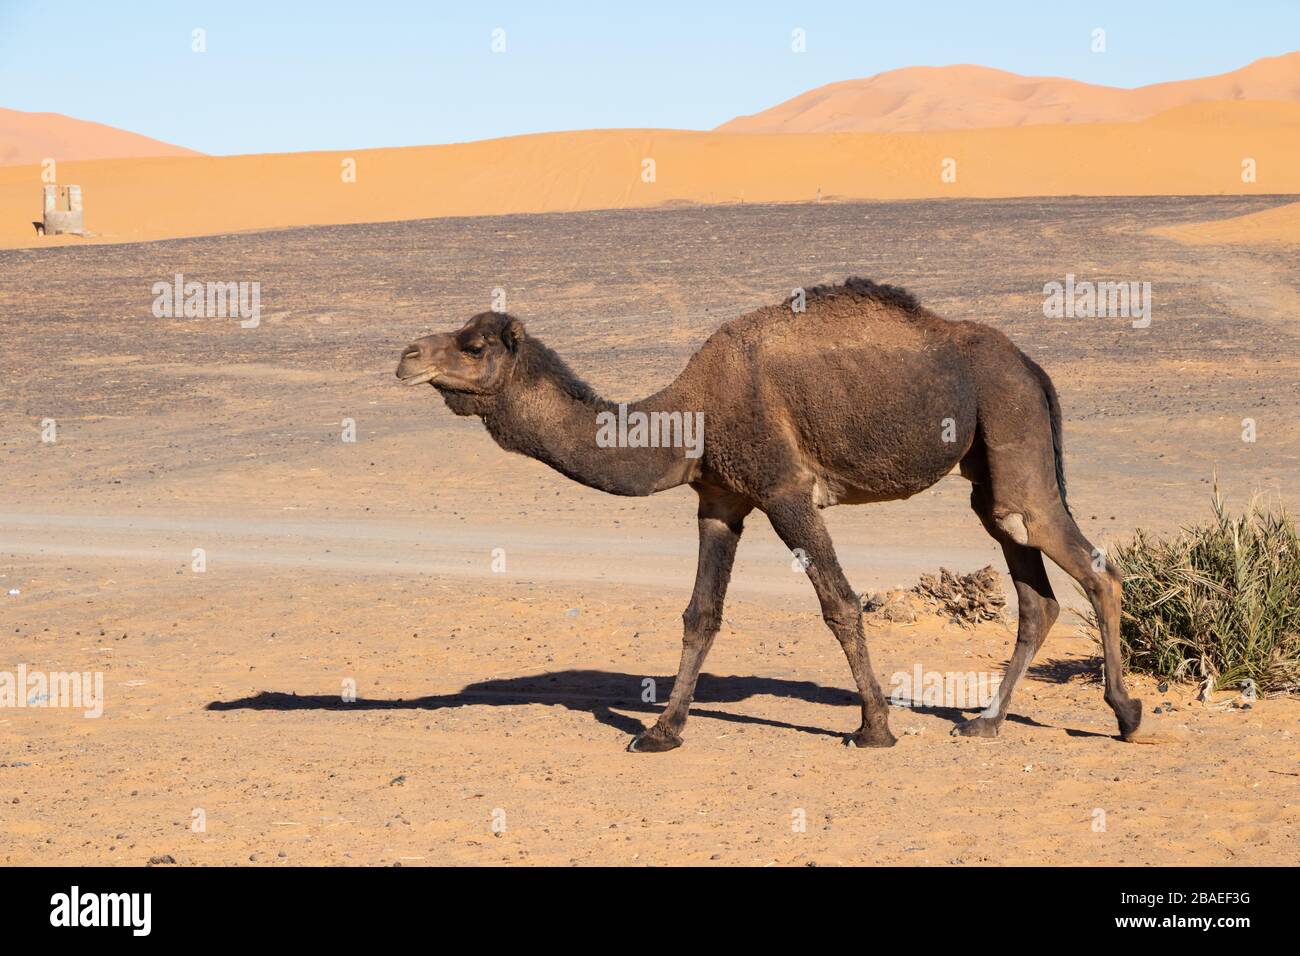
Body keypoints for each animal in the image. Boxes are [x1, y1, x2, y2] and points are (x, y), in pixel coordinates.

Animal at [396, 278, 1142, 752]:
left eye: (472, 345)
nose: (406, 355)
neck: (689, 415)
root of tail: (1032, 365)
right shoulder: (721, 500)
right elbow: (701, 614)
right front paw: (660, 732)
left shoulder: (784, 488)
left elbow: (840, 602)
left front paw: (874, 728)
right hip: (987, 469)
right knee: (1035, 592)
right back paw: (984, 723)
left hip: (1011, 424)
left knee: (1087, 564)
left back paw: (1125, 714)